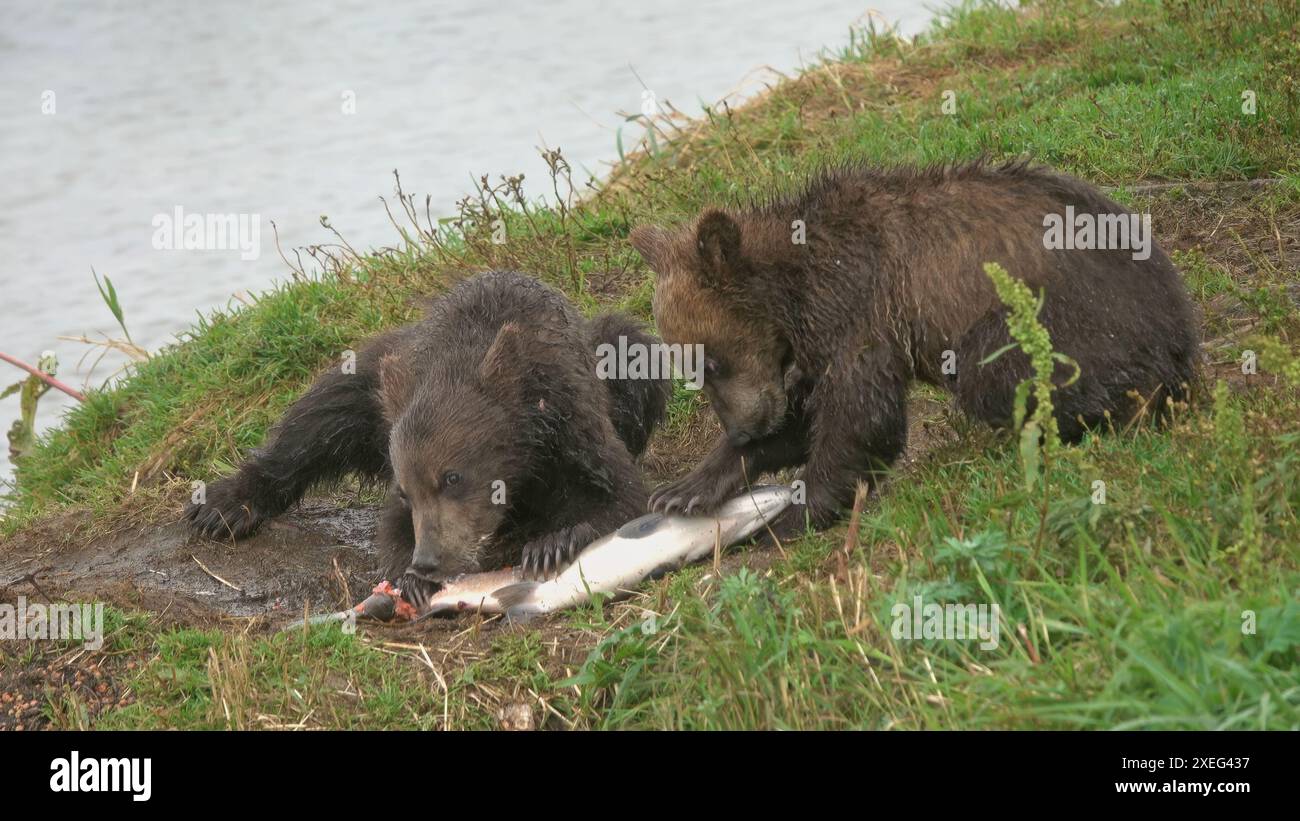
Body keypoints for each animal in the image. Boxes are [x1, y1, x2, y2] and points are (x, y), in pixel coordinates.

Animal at [185, 270, 671, 596]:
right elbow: (391, 529)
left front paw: (555, 542)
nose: (430, 560)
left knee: (632, 350)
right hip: (378, 378)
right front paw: (409, 576)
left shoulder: (569, 425)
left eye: (453, 477)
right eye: (406, 490)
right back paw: (224, 505)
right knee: (317, 417)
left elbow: (621, 494)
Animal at [630, 159, 1199, 531]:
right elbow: (807, 413)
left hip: (1061, 317)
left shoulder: (858, 301)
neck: (791, 291)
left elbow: (859, 413)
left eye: (711, 360)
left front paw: (796, 512)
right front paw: (685, 490)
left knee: (1002, 374)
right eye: (688, 366)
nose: (743, 428)